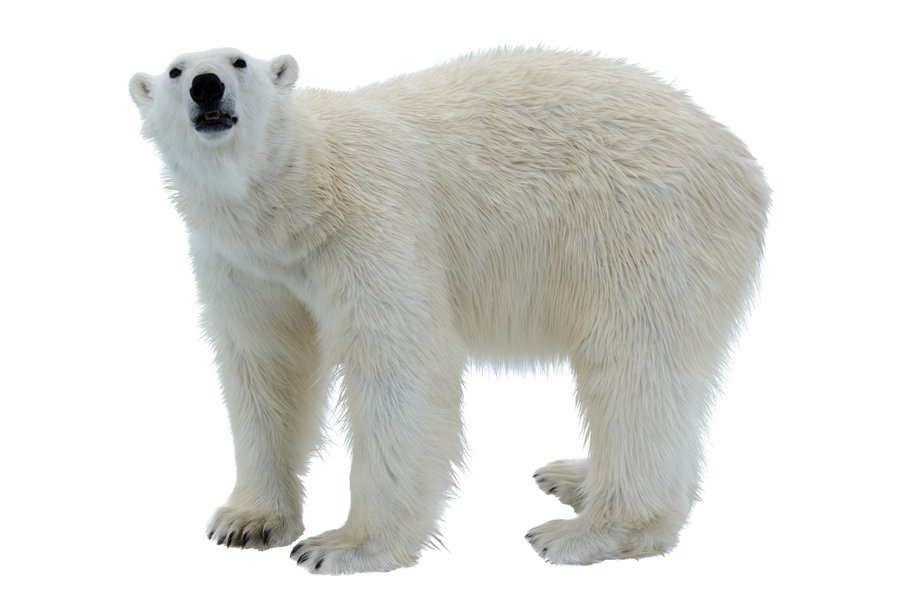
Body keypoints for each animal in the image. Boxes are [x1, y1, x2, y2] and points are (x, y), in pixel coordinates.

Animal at [129, 47, 769, 574]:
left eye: (238, 60)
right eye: (175, 70)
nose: (207, 86)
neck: (300, 194)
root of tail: (740, 158)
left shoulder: (373, 225)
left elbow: (399, 368)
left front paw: (343, 546)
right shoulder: (243, 265)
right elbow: (266, 366)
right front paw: (248, 521)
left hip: (644, 227)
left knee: (634, 367)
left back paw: (581, 532)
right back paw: (573, 477)